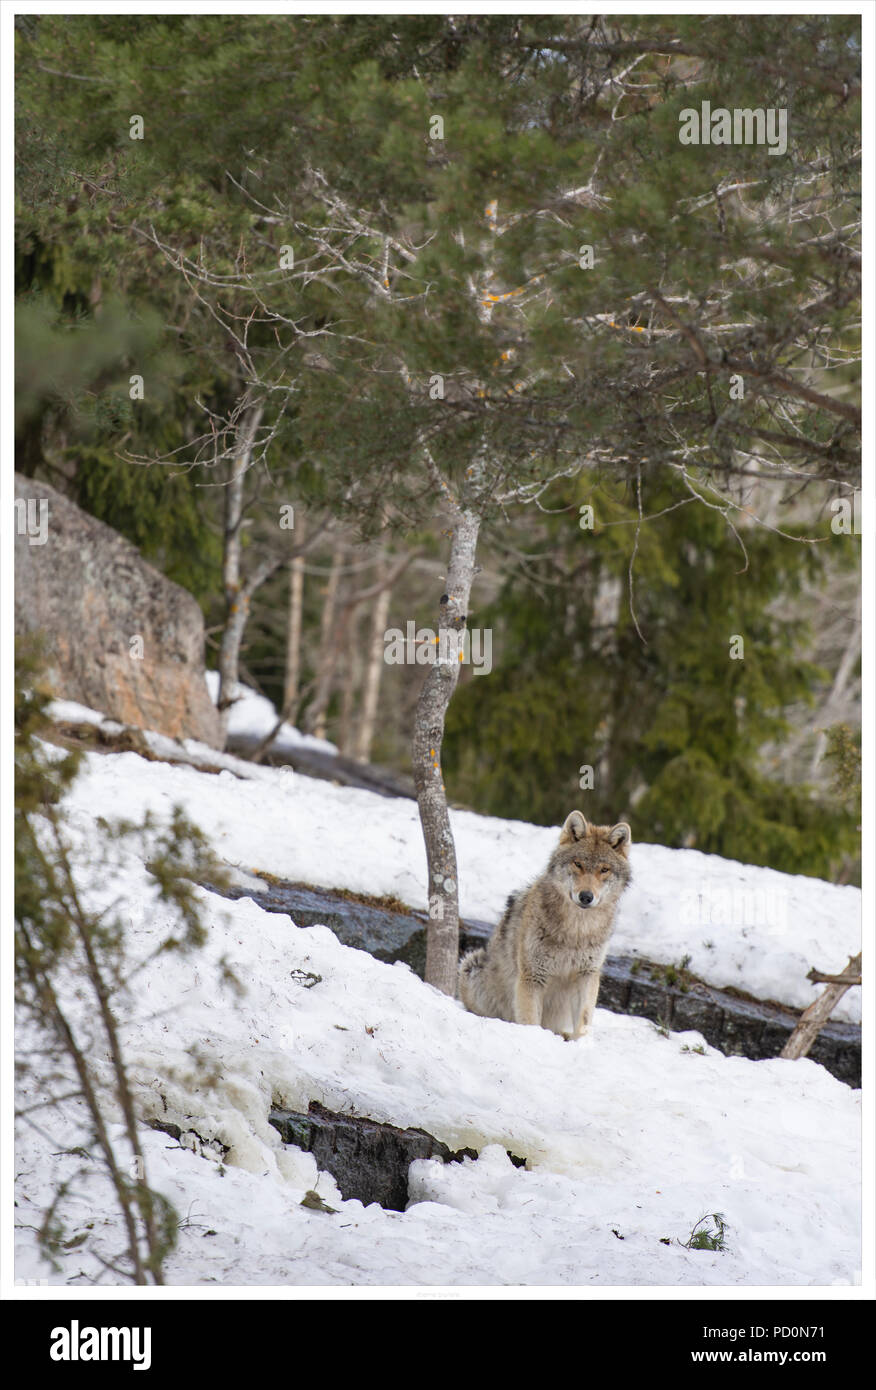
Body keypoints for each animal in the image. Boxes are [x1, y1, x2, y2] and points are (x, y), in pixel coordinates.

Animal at [459, 811, 632, 1039]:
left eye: (604, 870)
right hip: (471, 966)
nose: (586, 897)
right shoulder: (532, 977)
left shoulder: (587, 975)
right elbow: (530, 1021)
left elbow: (584, 1020)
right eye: (578, 864)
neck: (576, 930)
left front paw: (581, 1043)